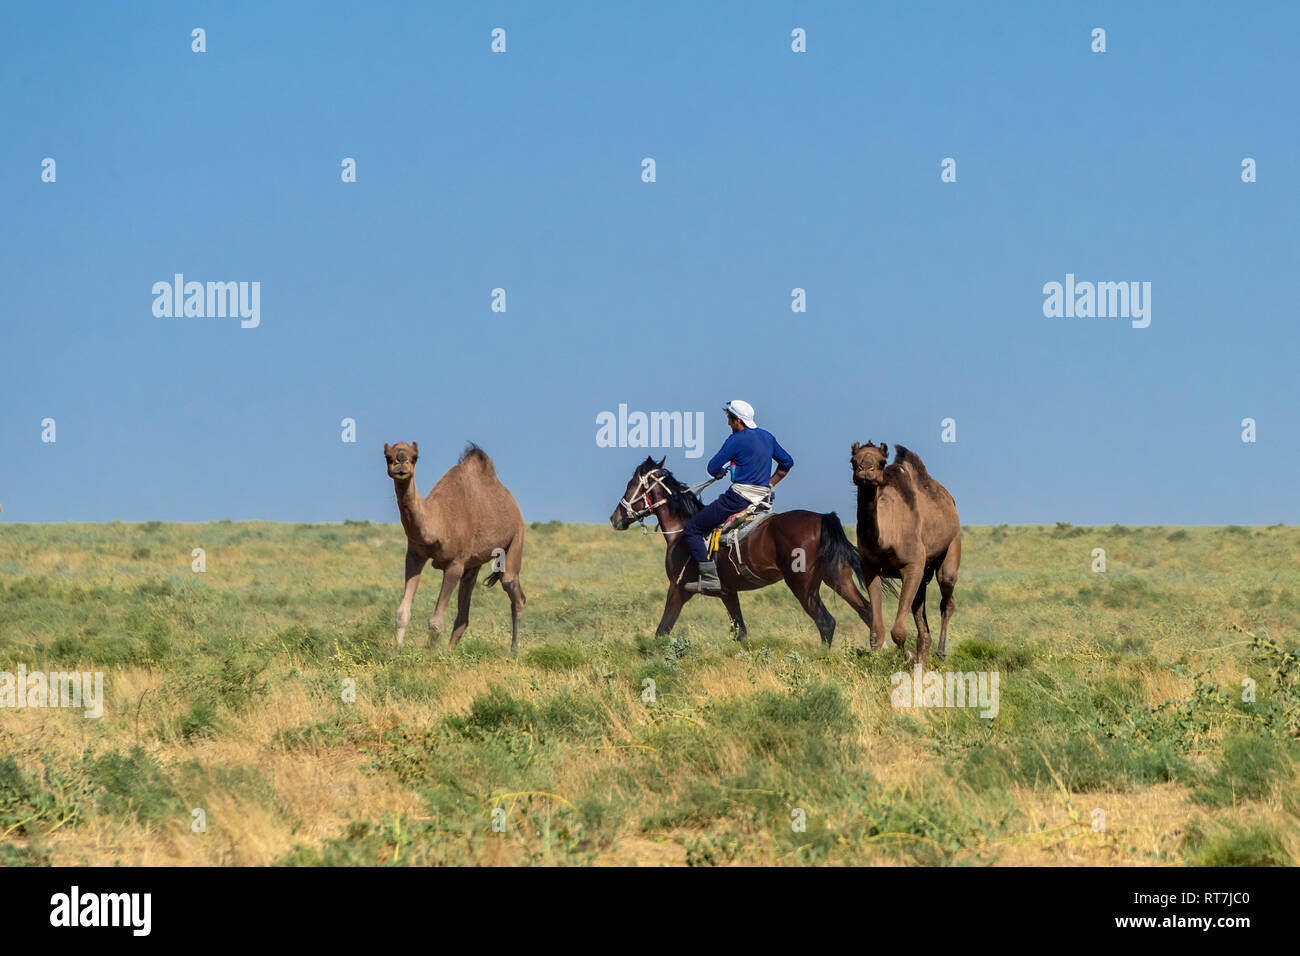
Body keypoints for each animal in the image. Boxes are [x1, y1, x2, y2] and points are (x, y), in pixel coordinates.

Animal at [384, 441, 526, 654]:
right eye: (387, 456)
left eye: (415, 457)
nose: (401, 462)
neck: (438, 523)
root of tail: (513, 504)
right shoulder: (415, 556)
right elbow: (402, 612)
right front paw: (397, 651)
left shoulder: (455, 564)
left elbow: (436, 622)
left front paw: (430, 655)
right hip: (473, 563)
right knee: (464, 609)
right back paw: (452, 650)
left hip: (516, 535)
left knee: (512, 586)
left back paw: (514, 650)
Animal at [850, 441, 961, 662]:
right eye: (853, 460)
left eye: (881, 462)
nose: (865, 469)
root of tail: (949, 499)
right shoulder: (869, 567)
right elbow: (876, 632)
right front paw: (906, 656)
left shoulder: (912, 565)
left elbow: (898, 631)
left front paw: (907, 655)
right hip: (924, 573)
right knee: (921, 614)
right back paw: (923, 655)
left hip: (952, 543)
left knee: (947, 596)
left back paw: (940, 652)